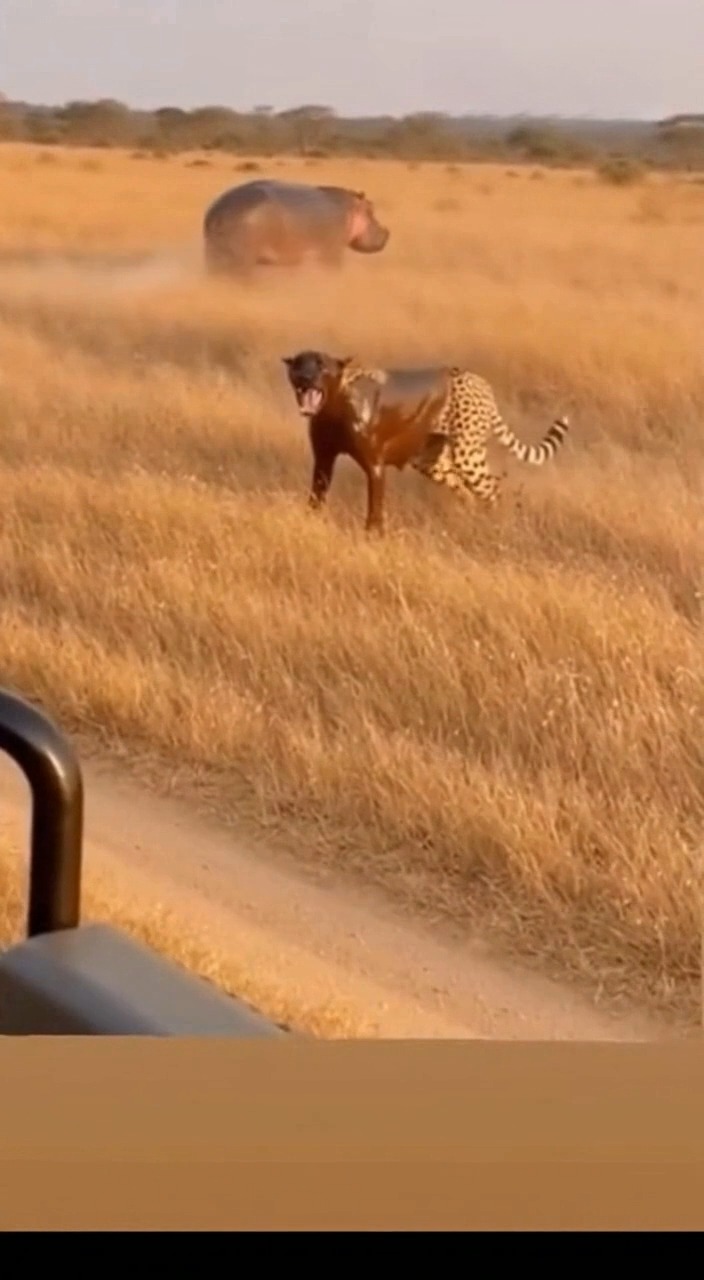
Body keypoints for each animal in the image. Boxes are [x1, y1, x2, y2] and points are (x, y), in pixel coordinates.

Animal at [202, 179, 390, 275]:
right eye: (370, 210)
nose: (386, 232)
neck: (350, 207)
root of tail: (218, 211)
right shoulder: (332, 251)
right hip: (242, 258)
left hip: (214, 255)